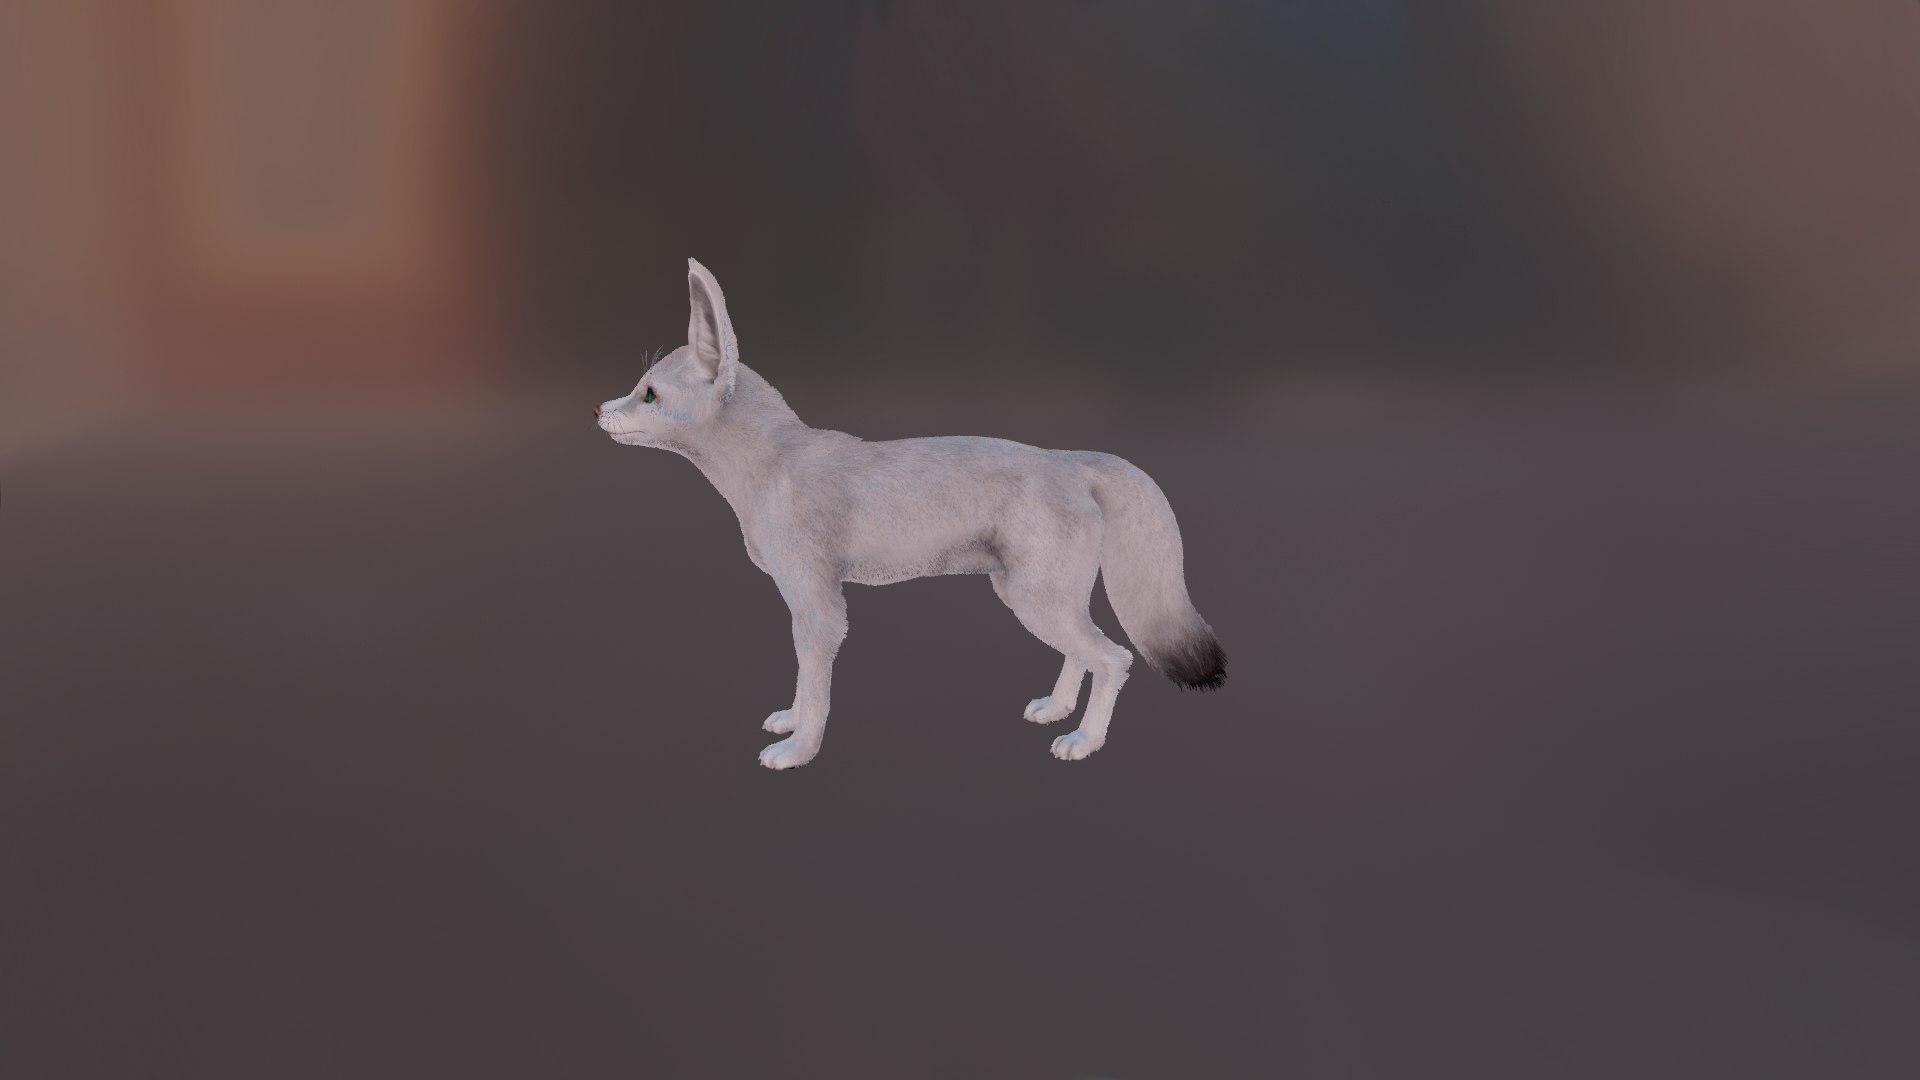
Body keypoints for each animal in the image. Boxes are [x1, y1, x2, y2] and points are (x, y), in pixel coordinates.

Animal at [595, 259, 1226, 769]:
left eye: (647, 394)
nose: (598, 411)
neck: (772, 465)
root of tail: (1069, 459)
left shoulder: (820, 607)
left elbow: (815, 688)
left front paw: (799, 750)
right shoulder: (805, 607)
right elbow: (801, 684)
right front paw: (792, 724)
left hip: (1036, 600)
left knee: (1114, 657)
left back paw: (1084, 740)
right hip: (1032, 597)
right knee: (1084, 651)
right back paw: (1057, 708)